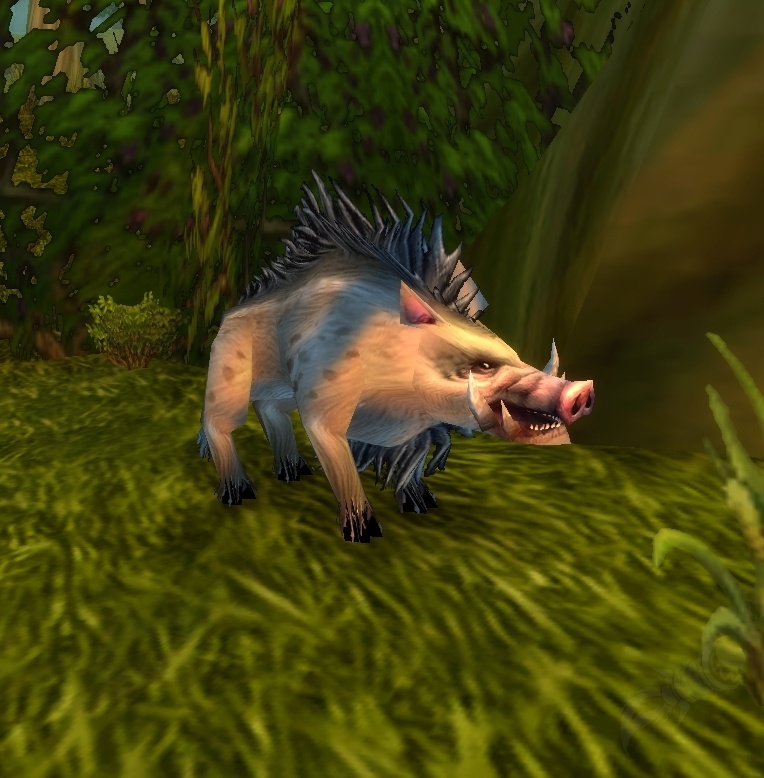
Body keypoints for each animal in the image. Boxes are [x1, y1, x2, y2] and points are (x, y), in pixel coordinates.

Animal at [197, 171, 594, 542]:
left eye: (516, 356)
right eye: (483, 366)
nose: (581, 392)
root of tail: (230, 313)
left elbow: (409, 463)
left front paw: (422, 502)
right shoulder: (326, 397)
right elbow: (336, 452)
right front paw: (363, 532)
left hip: (279, 387)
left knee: (269, 408)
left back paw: (294, 472)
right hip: (232, 360)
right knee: (223, 420)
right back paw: (237, 492)